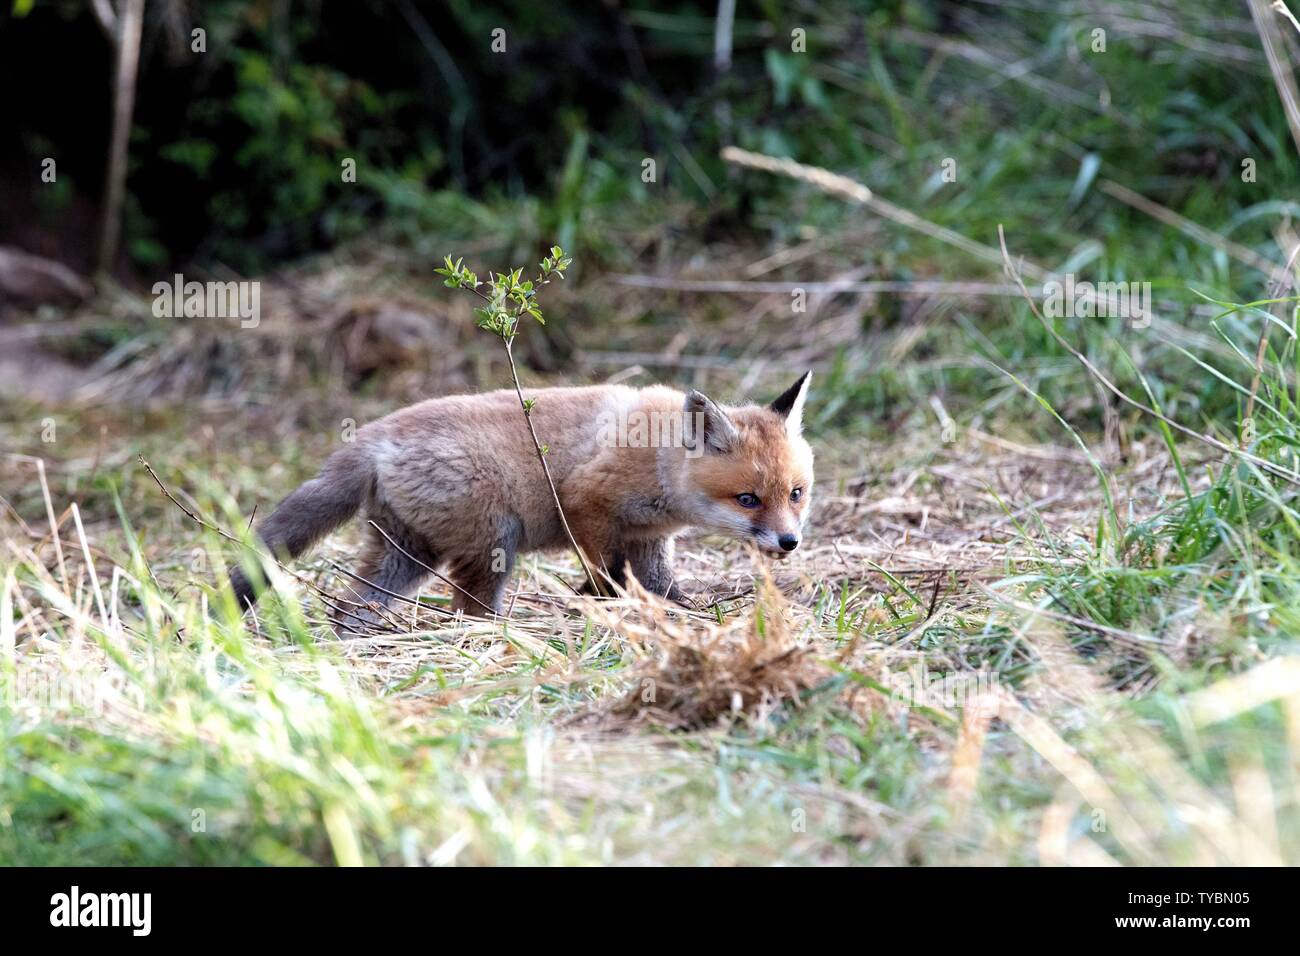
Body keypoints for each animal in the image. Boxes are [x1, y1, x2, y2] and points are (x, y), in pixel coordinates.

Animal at [227, 371, 814, 629]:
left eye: (796, 494)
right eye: (747, 499)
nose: (789, 542)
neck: (659, 461)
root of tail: (372, 435)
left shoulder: (649, 541)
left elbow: (663, 588)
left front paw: (683, 616)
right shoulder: (586, 506)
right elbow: (605, 576)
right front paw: (602, 606)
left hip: (407, 555)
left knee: (353, 603)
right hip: (493, 541)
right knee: (468, 606)